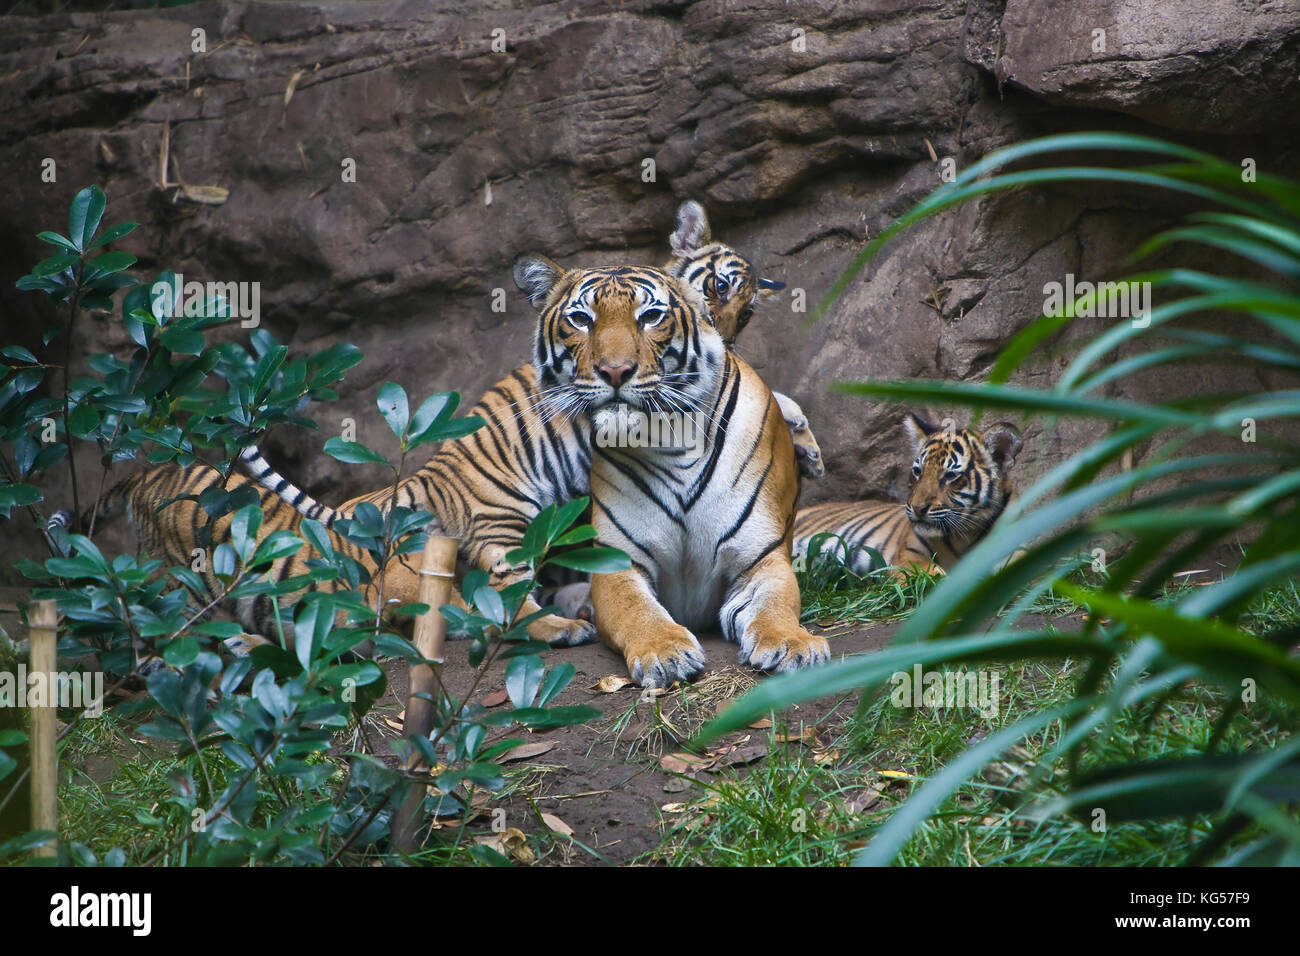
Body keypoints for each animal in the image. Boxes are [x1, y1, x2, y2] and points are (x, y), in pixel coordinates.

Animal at [513, 253, 830, 688]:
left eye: (650, 316)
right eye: (580, 319)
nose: (615, 370)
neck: (671, 441)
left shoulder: (760, 559)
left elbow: (775, 605)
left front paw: (792, 645)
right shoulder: (618, 562)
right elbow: (635, 610)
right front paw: (665, 651)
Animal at [792, 414, 1022, 577]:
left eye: (950, 476)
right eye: (918, 471)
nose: (918, 508)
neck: (965, 535)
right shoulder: (909, 555)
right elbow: (931, 573)